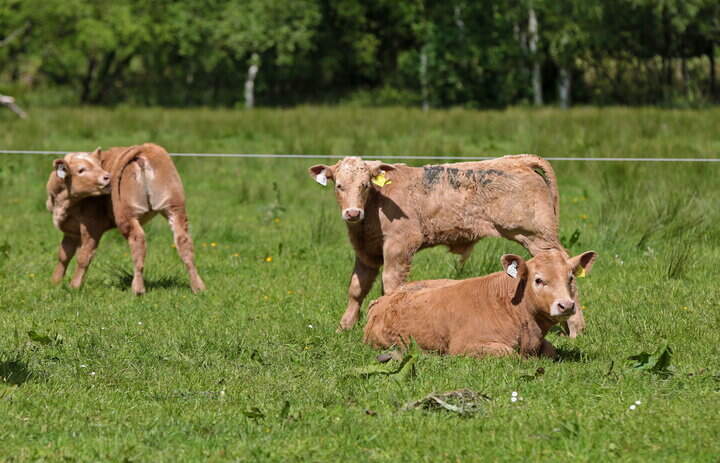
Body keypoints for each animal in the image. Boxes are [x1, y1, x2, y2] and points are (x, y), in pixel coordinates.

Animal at [46, 143, 205, 294]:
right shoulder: (70, 231)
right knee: (184, 241)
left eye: (99, 166)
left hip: (126, 214)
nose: (107, 177)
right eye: (81, 170)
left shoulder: (92, 226)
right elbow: (63, 255)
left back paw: (137, 289)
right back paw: (198, 287)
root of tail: (144, 149)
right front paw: (55, 283)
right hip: (175, 207)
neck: (63, 202)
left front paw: (74, 286)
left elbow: (83, 256)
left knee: (137, 241)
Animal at [308, 155, 586, 336]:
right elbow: (356, 289)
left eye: (365, 184)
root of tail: (518, 160)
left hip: (537, 236)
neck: (376, 205)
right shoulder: (366, 252)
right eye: (339, 185)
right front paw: (344, 327)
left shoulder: (399, 246)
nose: (352, 213)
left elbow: (391, 286)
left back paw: (576, 328)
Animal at [363, 249, 597, 358]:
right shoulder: (464, 347)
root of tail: (383, 299)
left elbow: (550, 350)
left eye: (570, 278)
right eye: (538, 280)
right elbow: (509, 354)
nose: (566, 305)